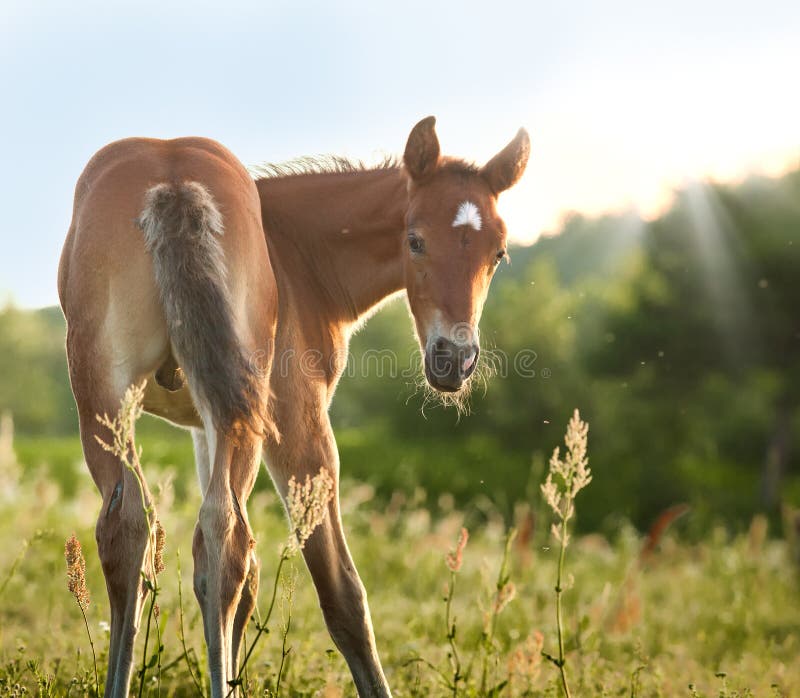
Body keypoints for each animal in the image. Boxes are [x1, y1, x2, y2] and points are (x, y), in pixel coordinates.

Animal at [58, 116, 529, 697]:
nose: (454, 360)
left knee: (156, 528)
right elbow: (340, 590)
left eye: (498, 253)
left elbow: (229, 573)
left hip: (128, 397)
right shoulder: (296, 419)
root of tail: (173, 181)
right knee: (226, 539)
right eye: (415, 240)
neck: (300, 257)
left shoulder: (206, 424)